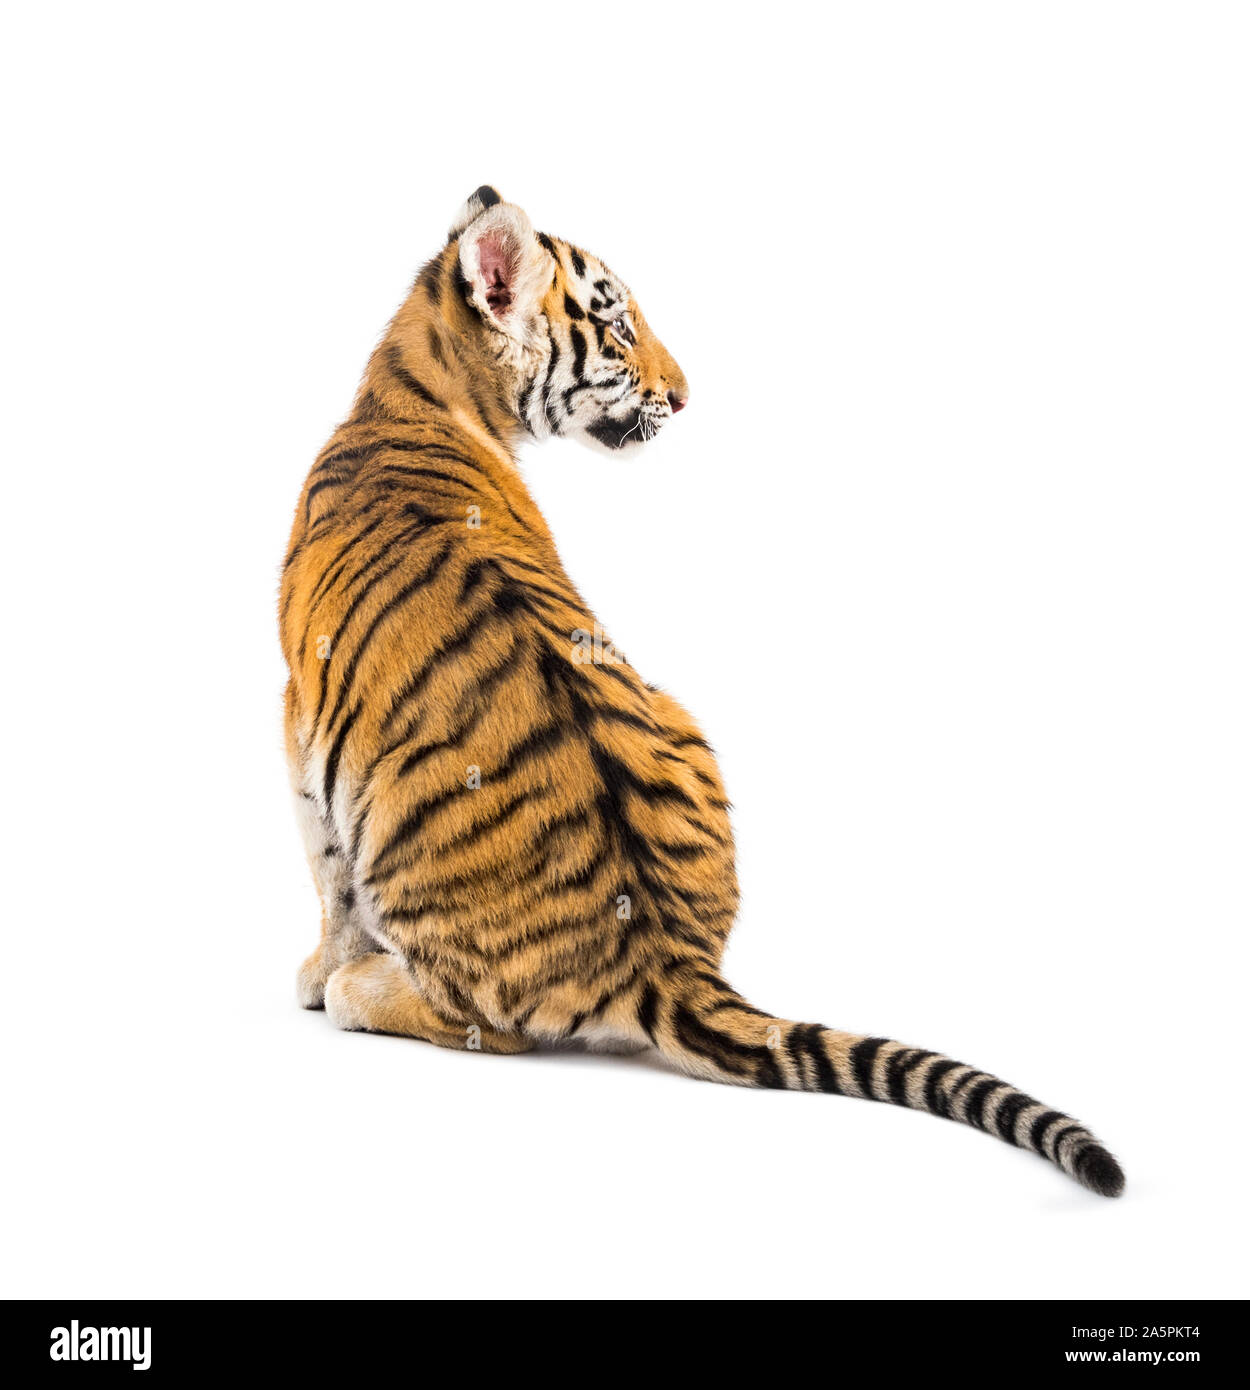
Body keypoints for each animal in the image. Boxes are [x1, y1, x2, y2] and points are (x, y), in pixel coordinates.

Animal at [279, 185, 1124, 1197]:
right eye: (617, 326)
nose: (685, 395)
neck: (414, 388)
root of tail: (667, 964)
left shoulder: (299, 722)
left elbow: (328, 877)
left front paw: (317, 971)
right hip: (679, 716)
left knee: (483, 1025)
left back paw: (354, 989)